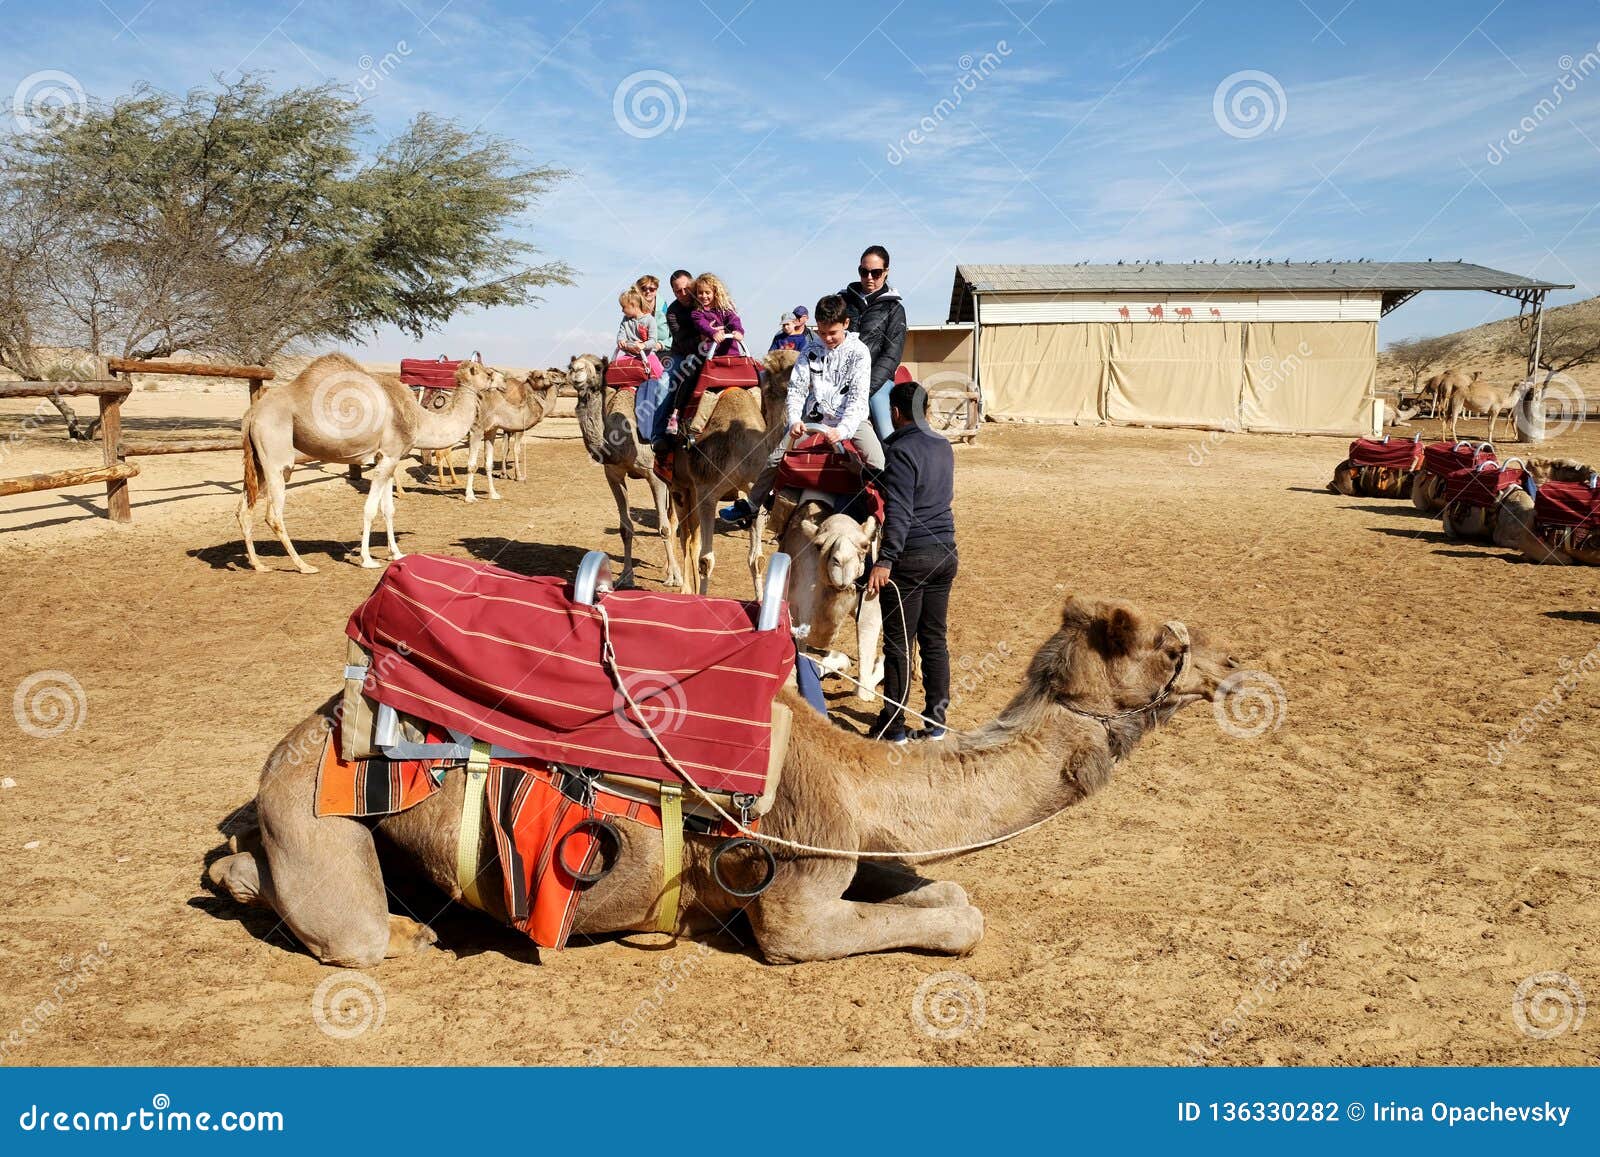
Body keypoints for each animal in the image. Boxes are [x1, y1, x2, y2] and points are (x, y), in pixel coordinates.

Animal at [206, 592, 1240, 965]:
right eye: (1171, 645)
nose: (1232, 668)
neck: (859, 777)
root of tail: (305, 729)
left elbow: (936, 884)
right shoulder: (793, 895)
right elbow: (955, 917)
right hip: (320, 809)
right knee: (355, 933)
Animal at [238, 353, 491, 574]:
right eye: (488, 373)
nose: (498, 380)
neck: (419, 418)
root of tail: (251, 414)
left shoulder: (387, 458)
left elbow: (388, 509)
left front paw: (395, 553)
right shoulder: (388, 457)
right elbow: (370, 509)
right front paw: (367, 559)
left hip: (259, 461)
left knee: (243, 509)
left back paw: (258, 564)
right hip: (276, 458)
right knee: (273, 514)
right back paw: (303, 565)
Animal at [463, 371, 559, 503]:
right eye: (540, 376)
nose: (557, 376)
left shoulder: (492, 429)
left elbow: (492, 461)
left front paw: (494, 493)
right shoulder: (476, 430)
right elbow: (473, 464)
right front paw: (469, 496)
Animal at [572, 354, 683, 589]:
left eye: (598, 367)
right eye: (571, 364)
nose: (576, 372)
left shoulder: (654, 476)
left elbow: (664, 527)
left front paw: (676, 578)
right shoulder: (613, 476)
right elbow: (625, 528)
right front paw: (626, 576)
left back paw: (674, 572)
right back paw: (667, 568)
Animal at [672, 349, 799, 597]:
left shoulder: (755, 497)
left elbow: (757, 560)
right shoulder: (706, 492)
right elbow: (706, 560)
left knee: (690, 537)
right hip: (678, 486)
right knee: (683, 535)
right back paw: (683, 588)